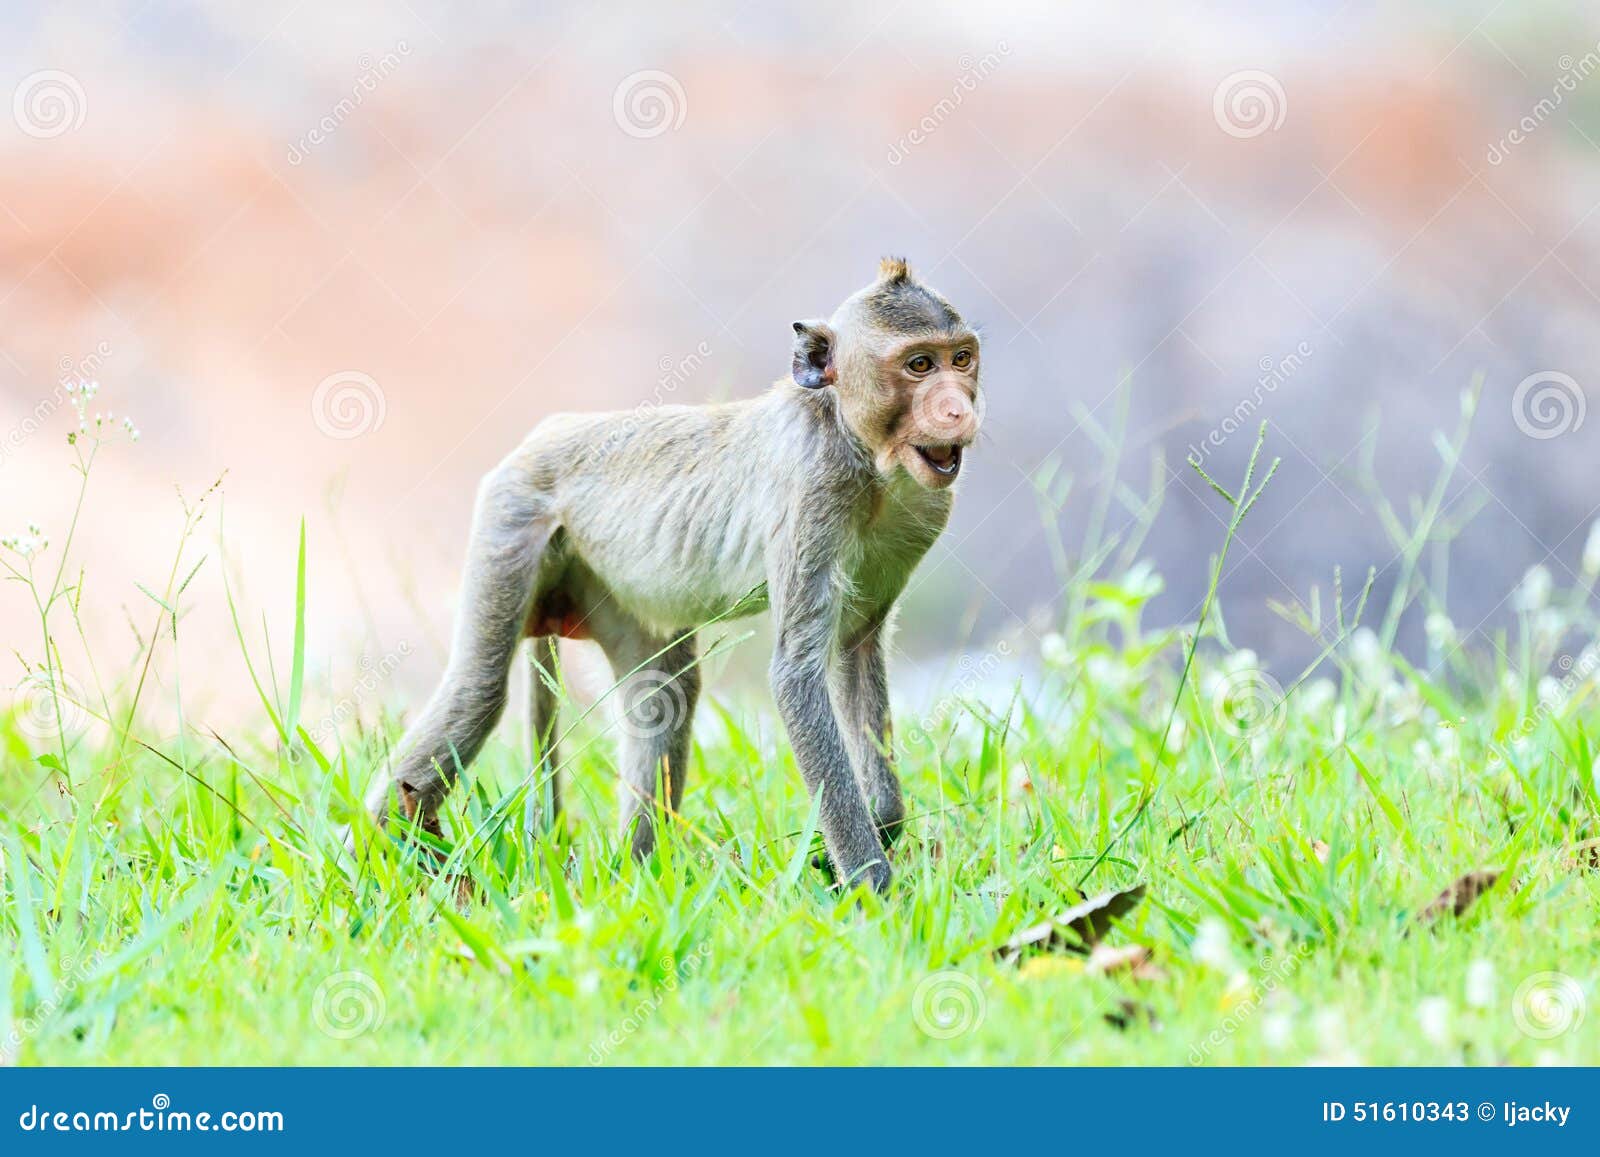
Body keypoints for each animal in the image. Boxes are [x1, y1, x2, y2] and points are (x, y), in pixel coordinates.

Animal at [364, 257, 982, 893]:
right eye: (919, 365)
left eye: (960, 358)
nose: (959, 409)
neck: (860, 448)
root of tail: (540, 436)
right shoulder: (814, 489)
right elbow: (797, 675)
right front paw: (870, 887)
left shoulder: (922, 513)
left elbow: (855, 647)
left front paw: (877, 826)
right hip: (512, 522)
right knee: (479, 691)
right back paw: (388, 850)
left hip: (606, 585)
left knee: (663, 695)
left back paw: (635, 874)